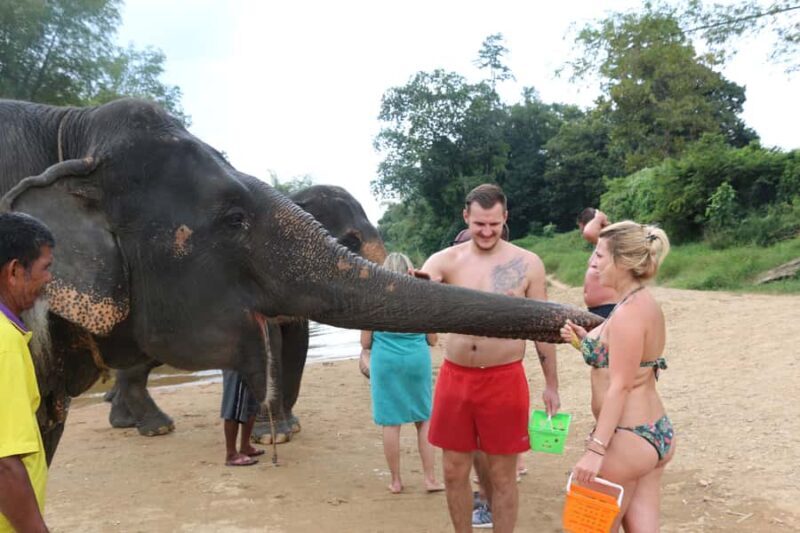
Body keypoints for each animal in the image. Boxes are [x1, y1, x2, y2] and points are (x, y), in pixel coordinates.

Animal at [103, 185, 388, 439]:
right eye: (351, 241)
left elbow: (297, 344)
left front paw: (291, 426)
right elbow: (268, 342)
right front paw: (273, 436)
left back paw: (125, 422)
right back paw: (156, 428)